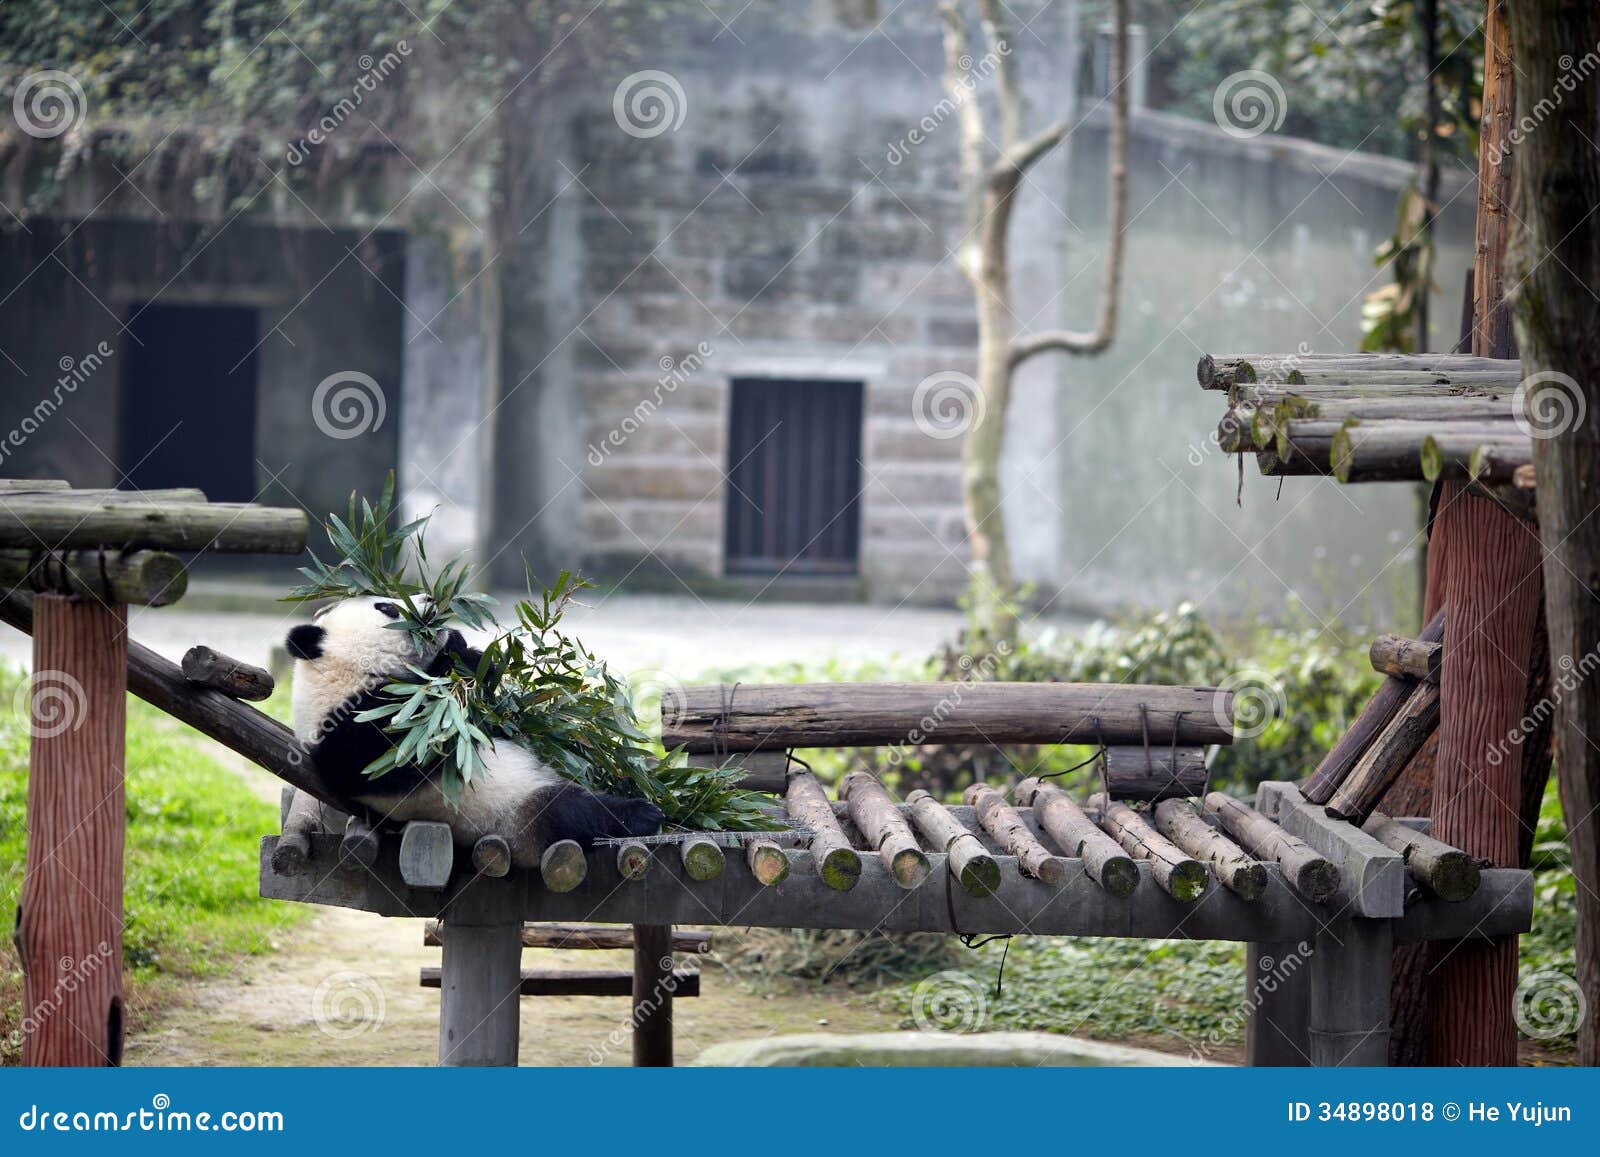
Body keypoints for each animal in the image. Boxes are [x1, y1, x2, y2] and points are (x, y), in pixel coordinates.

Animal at [285, 595, 662, 868]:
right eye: (387, 607)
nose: (431, 600)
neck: (340, 678)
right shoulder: (353, 730)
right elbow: (414, 746)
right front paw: (455, 658)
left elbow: (490, 710)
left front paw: (460, 645)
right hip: (514, 813)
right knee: (574, 813)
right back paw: (643, 813)